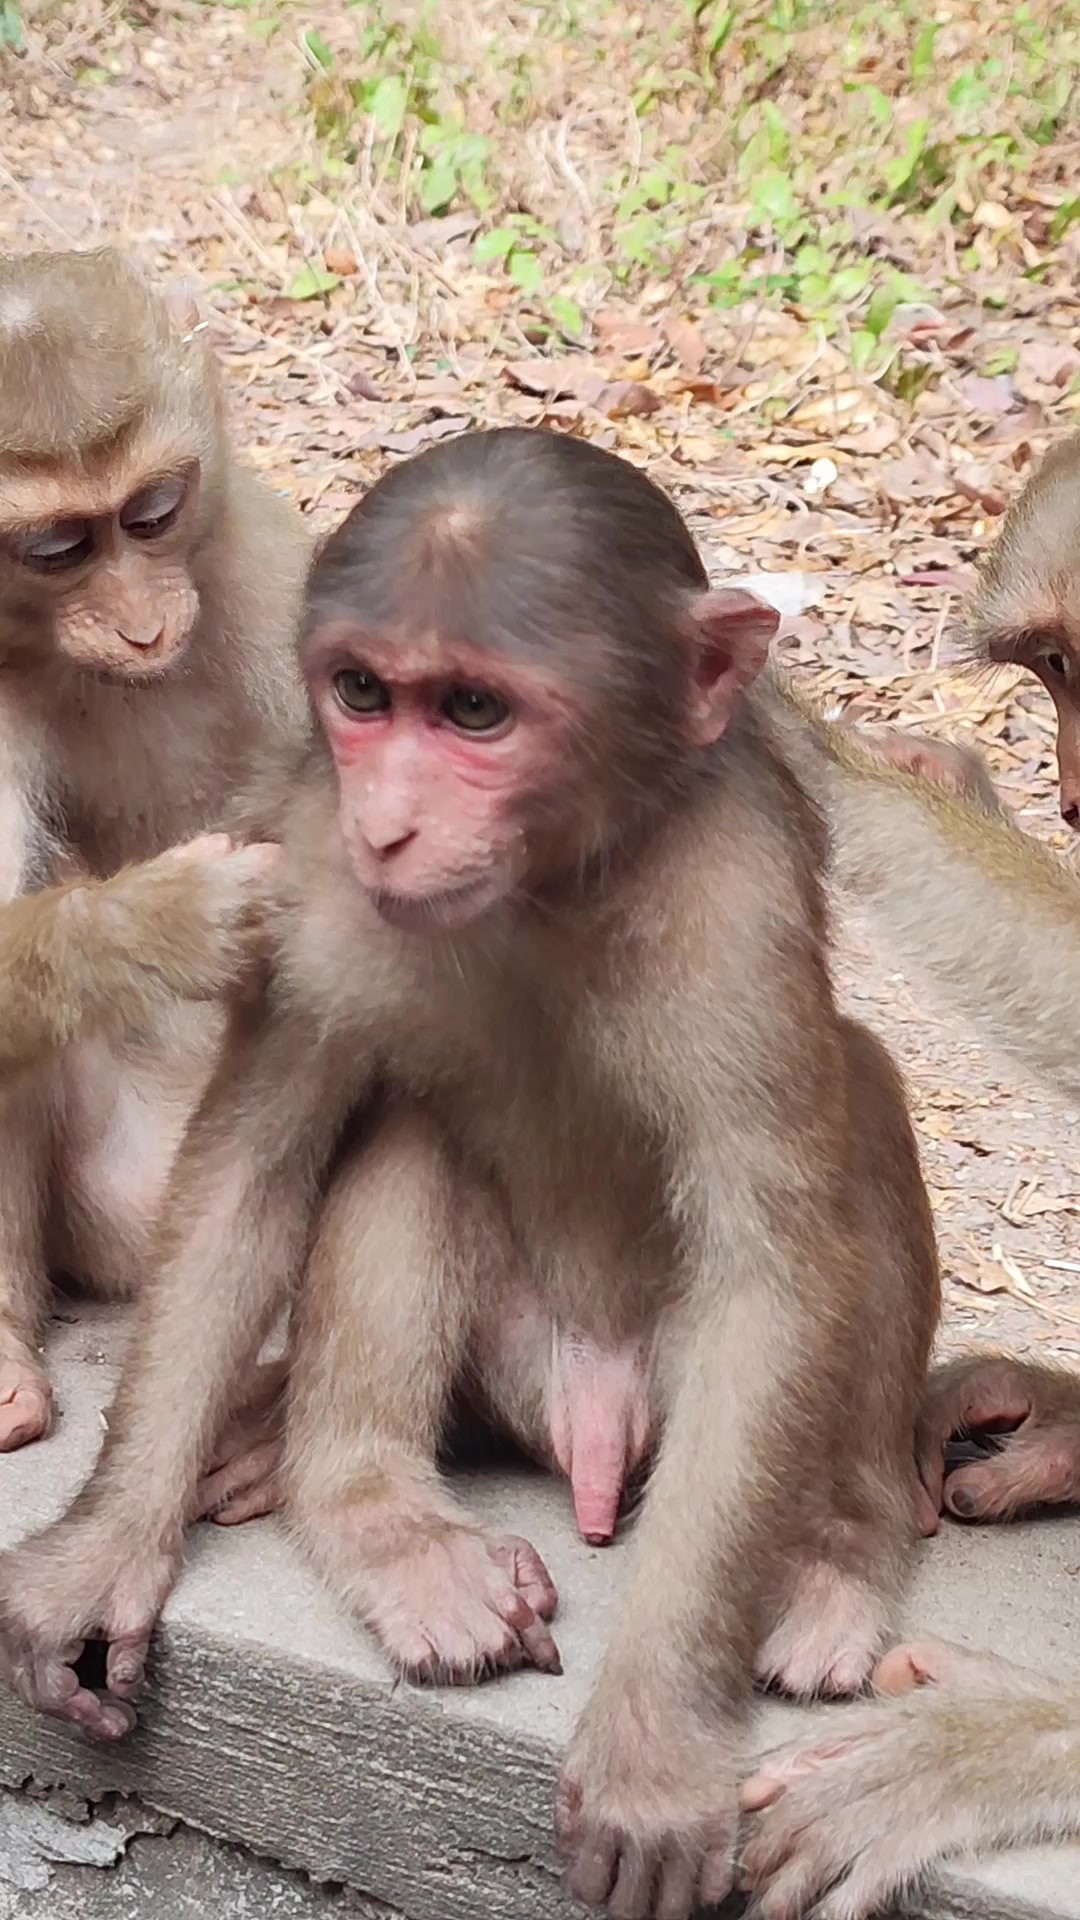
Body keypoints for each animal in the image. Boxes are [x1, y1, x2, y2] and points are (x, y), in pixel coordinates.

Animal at [0, 426, 942, 1920]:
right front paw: (104, 1551)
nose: (390, 821)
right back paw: (369, 1508)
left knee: (856, 1098)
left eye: (477, 713)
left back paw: (837, 1554)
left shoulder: (735, 896)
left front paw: (655, 1737)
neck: (545, 882)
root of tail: (593, 1424)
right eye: (365, 695)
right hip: (504, 1366)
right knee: (411, 1124)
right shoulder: (308, 862)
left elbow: (773, 1273)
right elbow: (252, 1165)